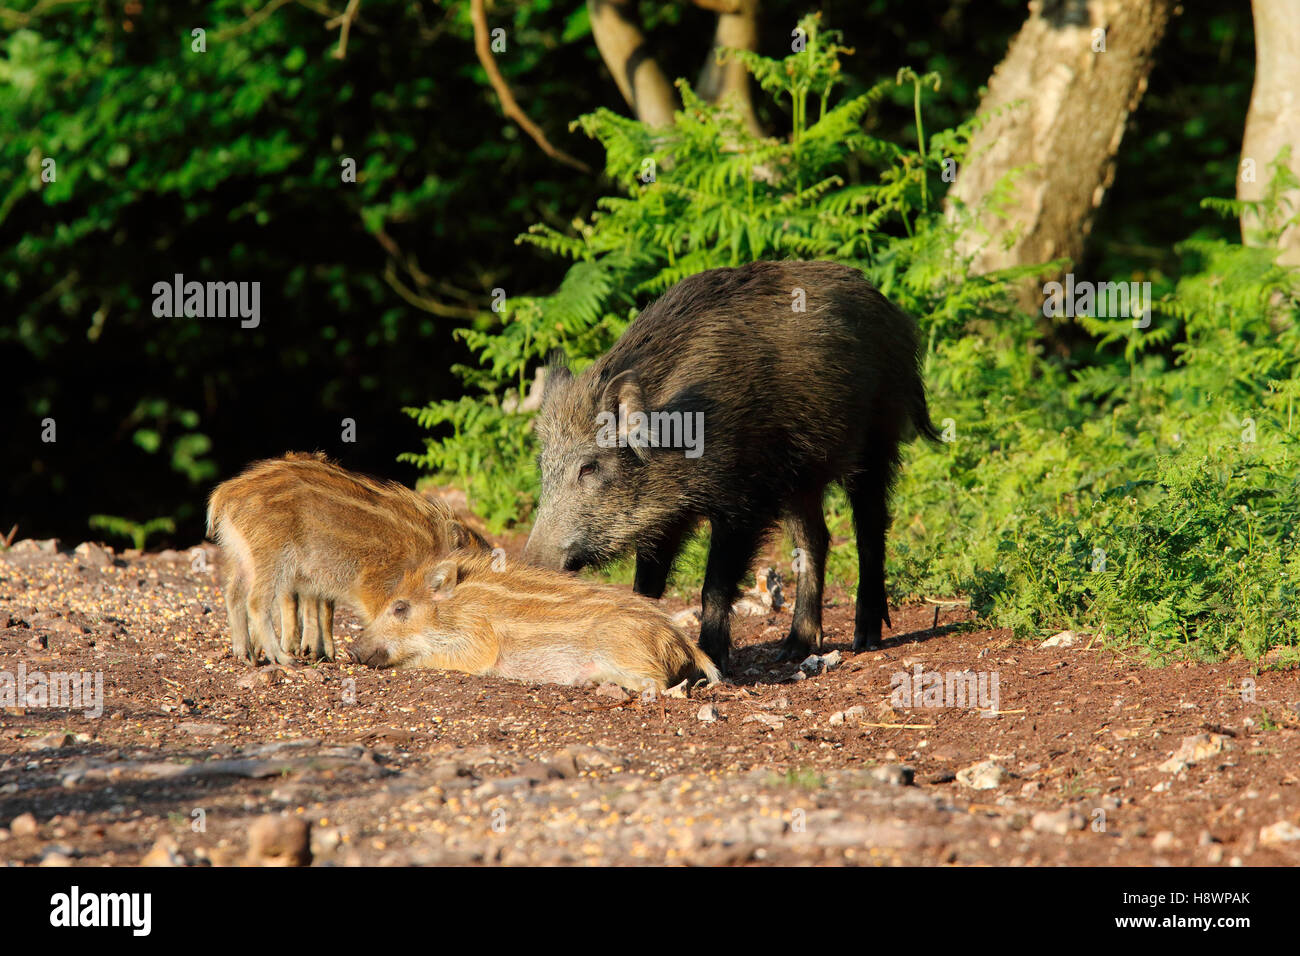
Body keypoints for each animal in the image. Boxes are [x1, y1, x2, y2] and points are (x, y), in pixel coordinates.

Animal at [206, 452, 489, 665]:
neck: (427, 551)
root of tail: (225, 495)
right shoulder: (375, 586)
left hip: (243, 555)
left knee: (233, 594)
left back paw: (247, 655)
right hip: (270, 555)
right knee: (256, 602)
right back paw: (283, 659)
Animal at [352, 550, 721, 692]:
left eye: (400, 608)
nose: (351, 651)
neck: (456, 610)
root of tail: (681, 639)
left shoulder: (478, 646)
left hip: (620, 648)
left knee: (657, 683)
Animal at [523, 260, 939, 675]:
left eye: (589, 467)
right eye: (544, 466)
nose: (533, 565)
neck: (679, 436)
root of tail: (891, 310)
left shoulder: (744, 502)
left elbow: (715, 586)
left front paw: (713, 661)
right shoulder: (669, 514)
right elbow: (647, 583)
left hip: (875, 441)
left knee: (870, 528)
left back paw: (865, 639)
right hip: (799, 478)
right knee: (815, 539)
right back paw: (794, 648)